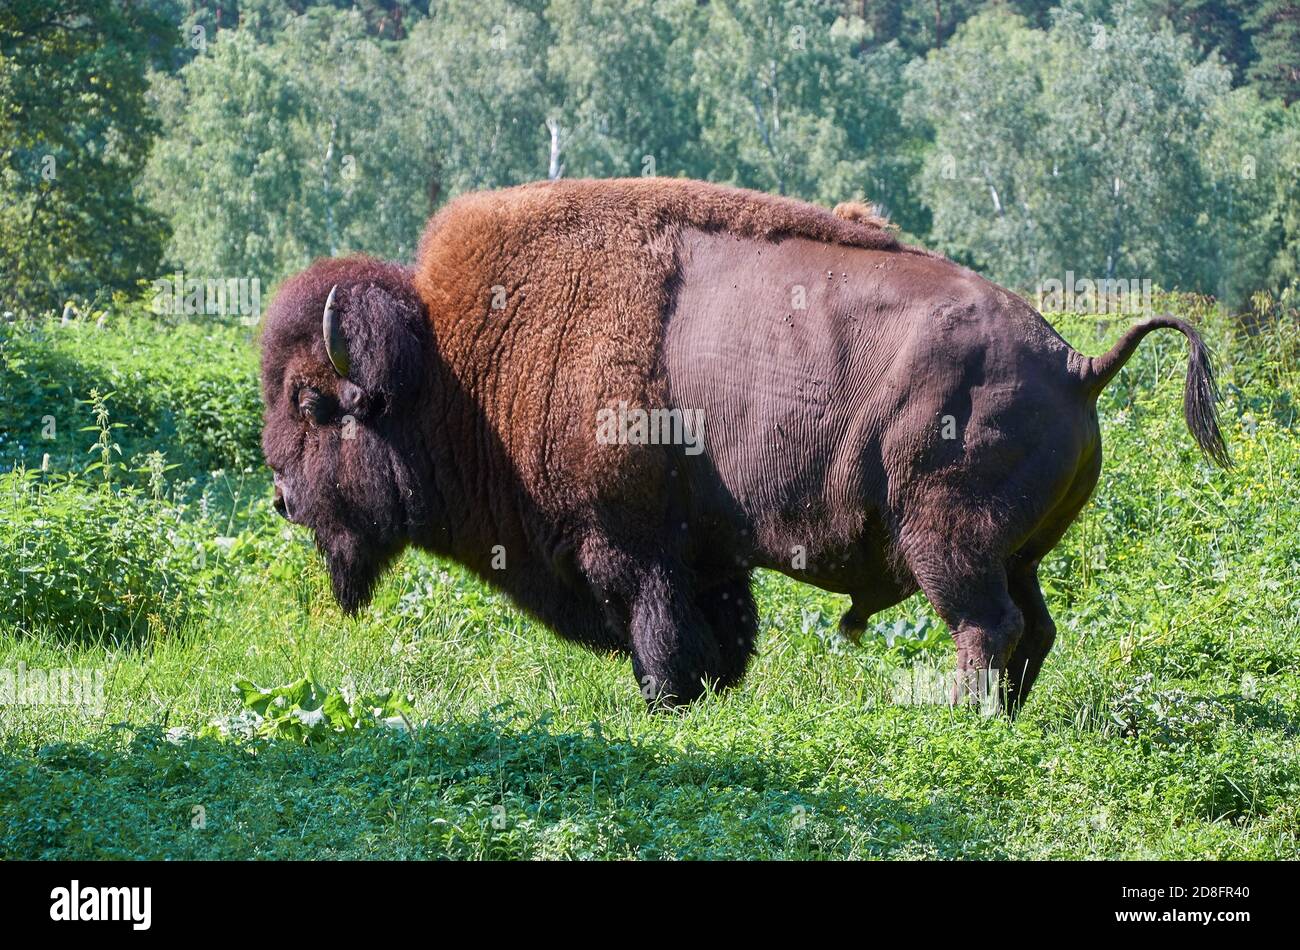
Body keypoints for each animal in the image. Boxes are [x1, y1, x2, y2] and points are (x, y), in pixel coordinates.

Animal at [260, 178, 1227, 712]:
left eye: (314, 402)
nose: (281, 497)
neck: (459, 362)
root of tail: (1075, 363)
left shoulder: (631, 549)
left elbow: (662, 638)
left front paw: (667, 705)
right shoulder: (709, 558)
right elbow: (722, 634)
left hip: (950, 545)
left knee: (986, 627)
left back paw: (962, 718)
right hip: (1018, 553)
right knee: (1035, 629)